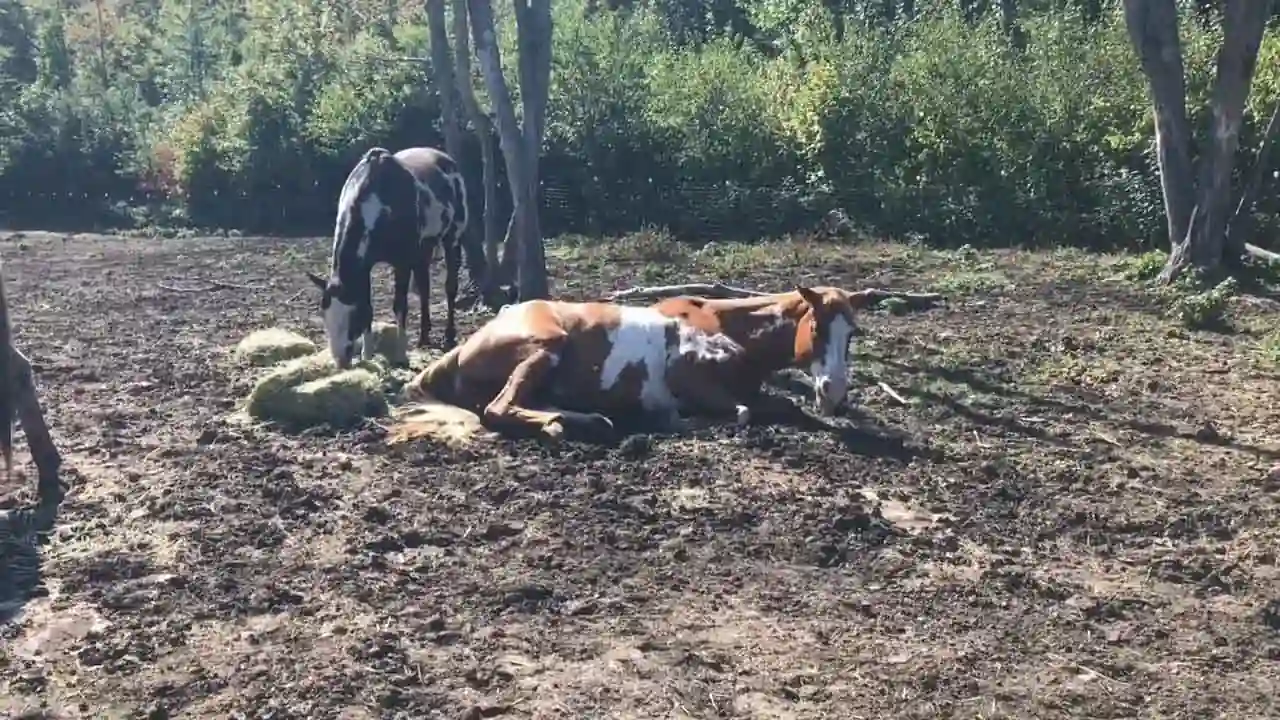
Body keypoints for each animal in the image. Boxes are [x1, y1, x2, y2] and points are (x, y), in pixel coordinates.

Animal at [307, 145, 469, 369]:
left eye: (352, 316)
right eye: (324, 314)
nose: (341, 360)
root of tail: (447, 160)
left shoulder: (402, 263)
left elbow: (399, 305)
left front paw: (401, 355)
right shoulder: (365, 267)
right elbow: (369, 306)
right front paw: (367, 355)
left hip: (452, 240)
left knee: (450, 288)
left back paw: (449, 336)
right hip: (423, 251)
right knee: (424, 289)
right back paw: (423, 338)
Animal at [402, 286, 869, 440]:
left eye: (852, 333)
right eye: (818, 326)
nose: (835, 391)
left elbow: (780, 406)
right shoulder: (688, 374)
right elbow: (740, 412)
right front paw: (675, 419)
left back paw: (587, 421)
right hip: (546, 344)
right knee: (499, 408)